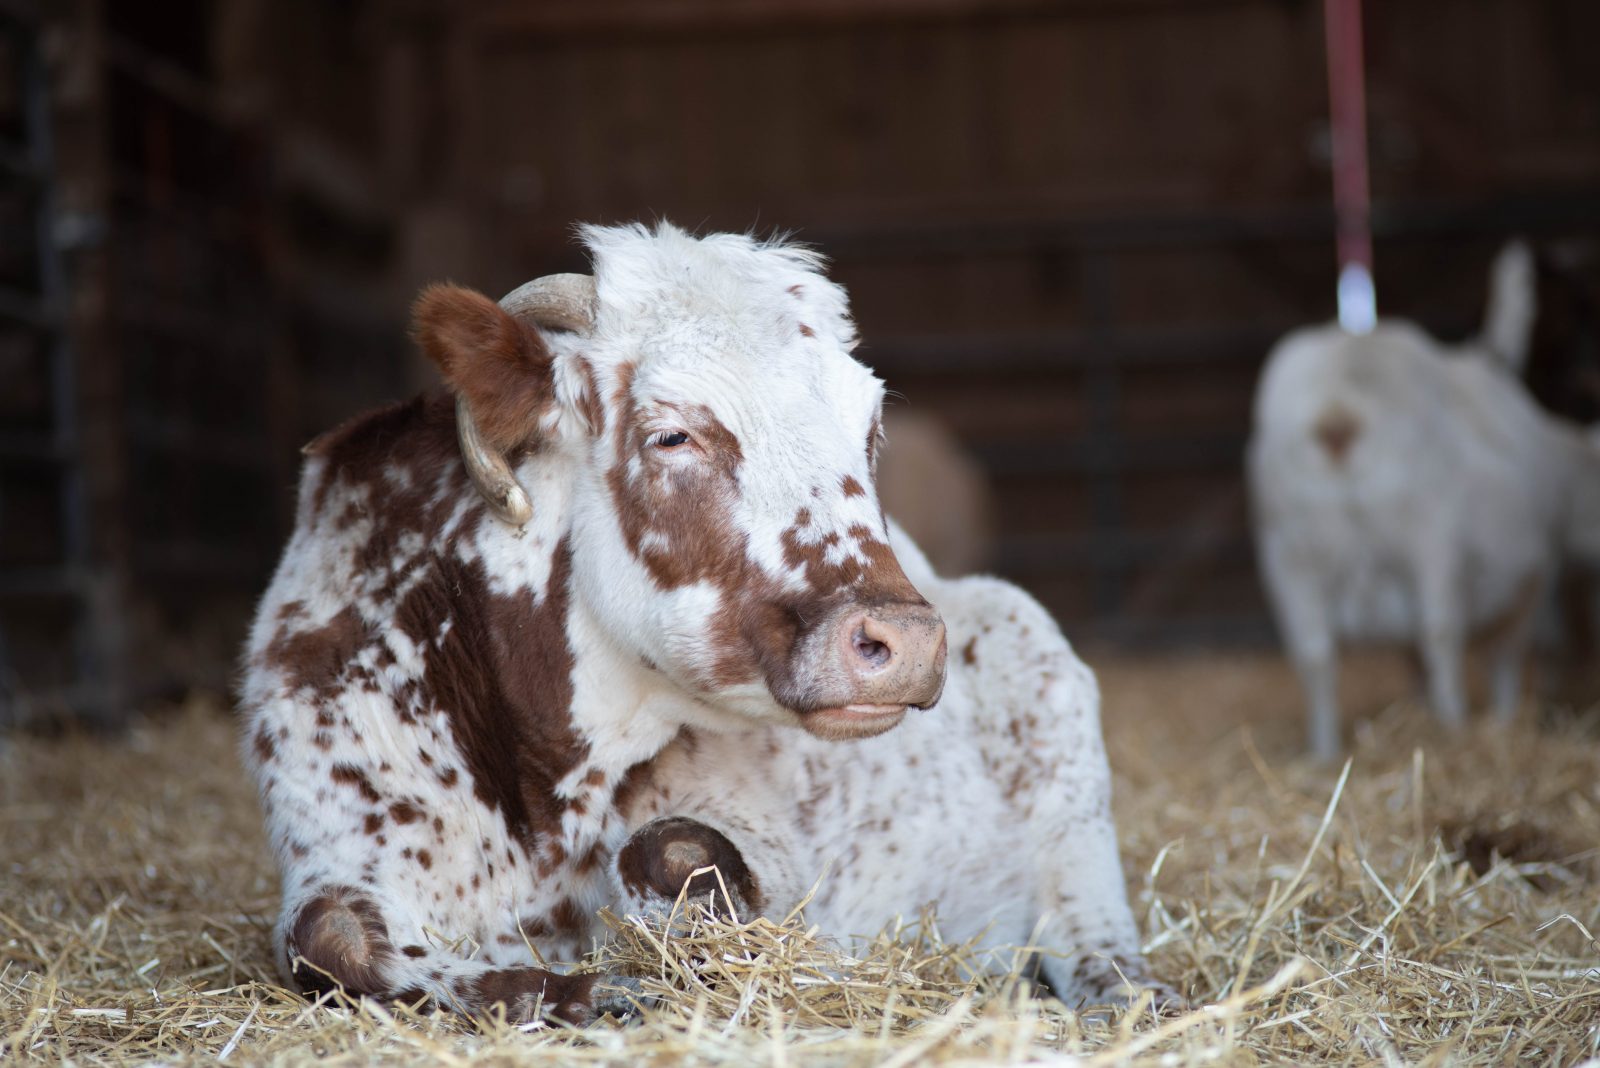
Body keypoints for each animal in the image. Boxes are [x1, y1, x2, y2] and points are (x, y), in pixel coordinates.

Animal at [240, 222, 1174, 1026]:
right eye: (672, 436)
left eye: (870, 431)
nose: (904, 641)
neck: (544, 793)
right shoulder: (330, 829)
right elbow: (330, 938)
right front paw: (580, 993)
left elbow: (665, 851)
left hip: (1058, 749)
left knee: (1091, 927)